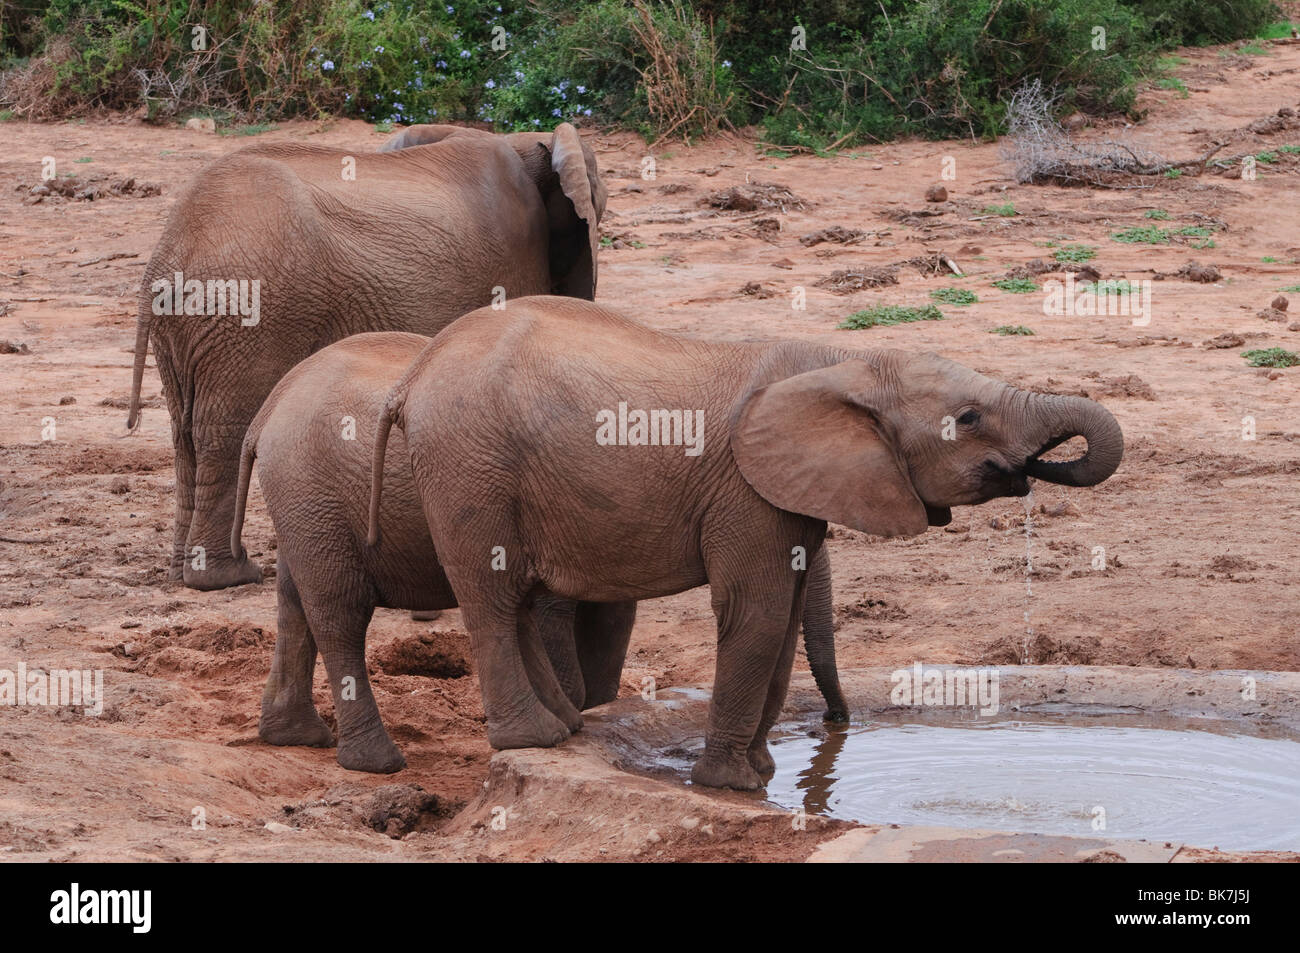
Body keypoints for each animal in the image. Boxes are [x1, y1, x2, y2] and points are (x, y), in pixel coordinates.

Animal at [126, 121, 607, 591]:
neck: (525, 141)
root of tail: (169, 250)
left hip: (189, 324)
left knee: (184, 433)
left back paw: (182, 574)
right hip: (251, 309)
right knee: (226, 428)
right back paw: (229, 577)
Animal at [230, 331, 637, 771]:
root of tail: (266, 413)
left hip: (304, 504)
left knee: (295, 599)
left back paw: (294, 736)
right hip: (313, 494)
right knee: (340, 611)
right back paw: (378, 762)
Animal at [367, 296, 1123, 790]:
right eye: (967, 418)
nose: (838, 724)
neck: (847, 361)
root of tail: (414, 372)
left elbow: (783, 621)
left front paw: (761, 773)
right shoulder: (745, 493)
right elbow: (756, 614)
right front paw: (733, 786)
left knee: (517, 596)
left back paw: (565, 729)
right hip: (469, 462)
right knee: (493, 597)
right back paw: (536, 738)